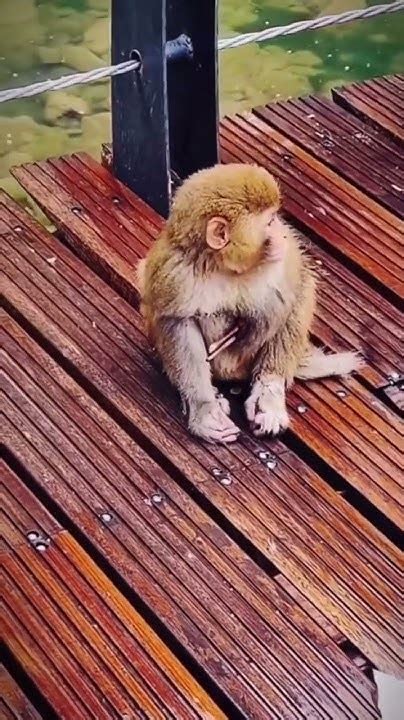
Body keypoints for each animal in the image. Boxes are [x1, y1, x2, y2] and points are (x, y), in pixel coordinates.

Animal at [137, 163, 362, 444]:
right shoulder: (175, 275)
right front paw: (204, 406)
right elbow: (176, 323)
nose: (282, 234)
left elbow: (295, 291)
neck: (224, 266)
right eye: (269, 222)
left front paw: (268, 391)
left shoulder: (281, 263)